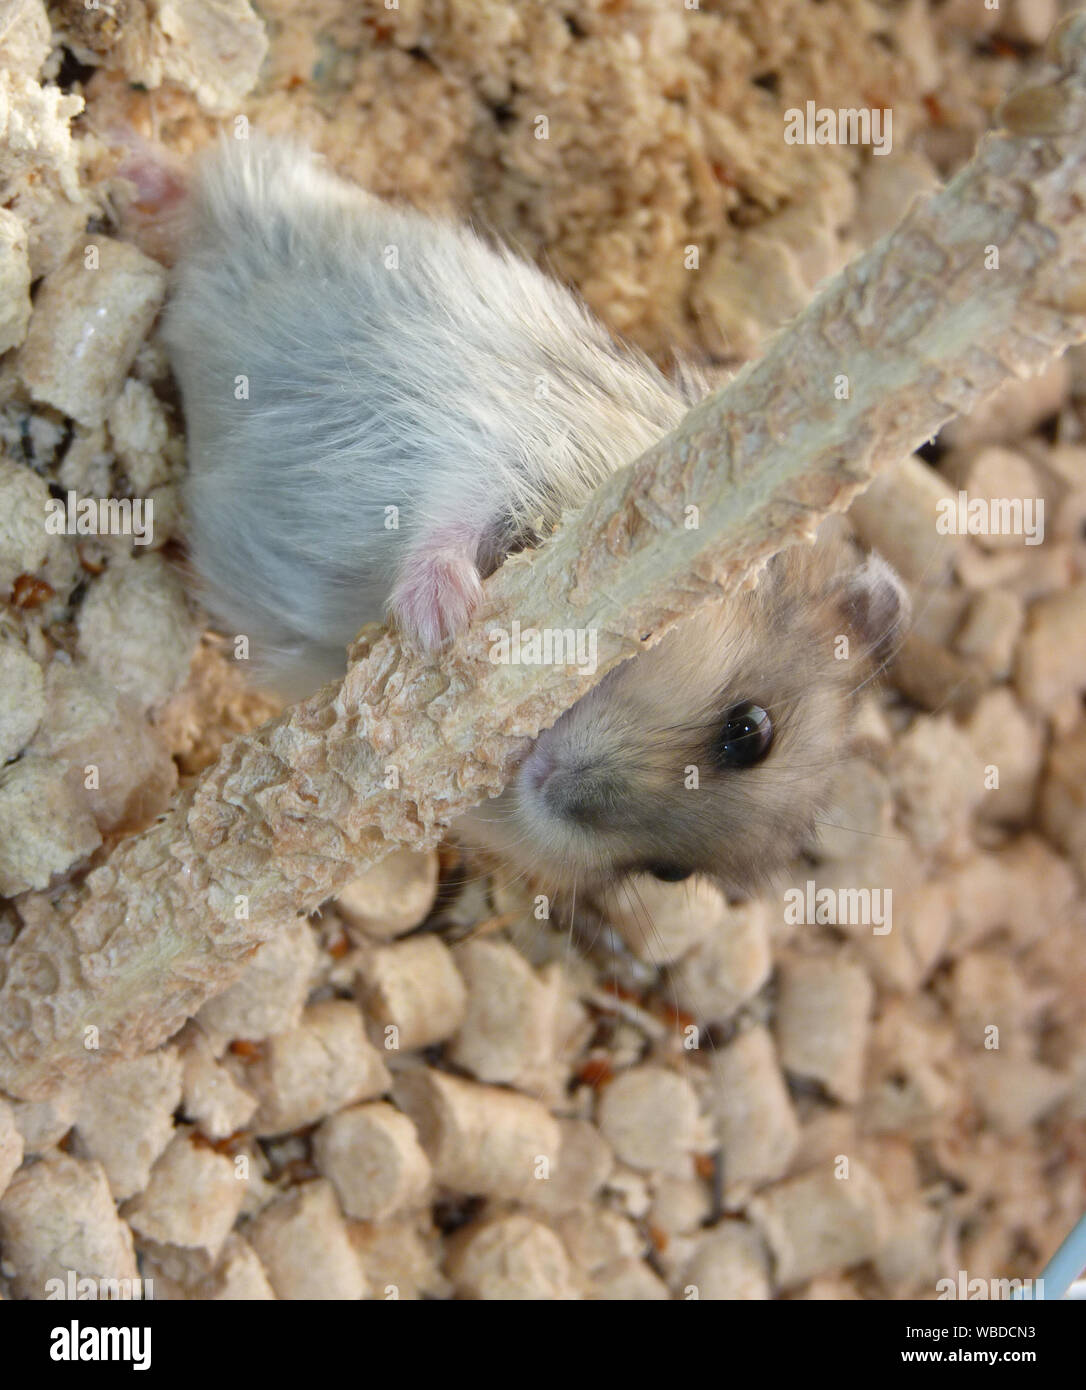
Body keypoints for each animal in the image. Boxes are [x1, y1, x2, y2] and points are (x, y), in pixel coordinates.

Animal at [162, 135, 908, 896]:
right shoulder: (503, 450)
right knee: (224, 181)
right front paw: (441, 623)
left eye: (668, 874)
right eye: (749, 730)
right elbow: (449, 523)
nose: (552, 791)